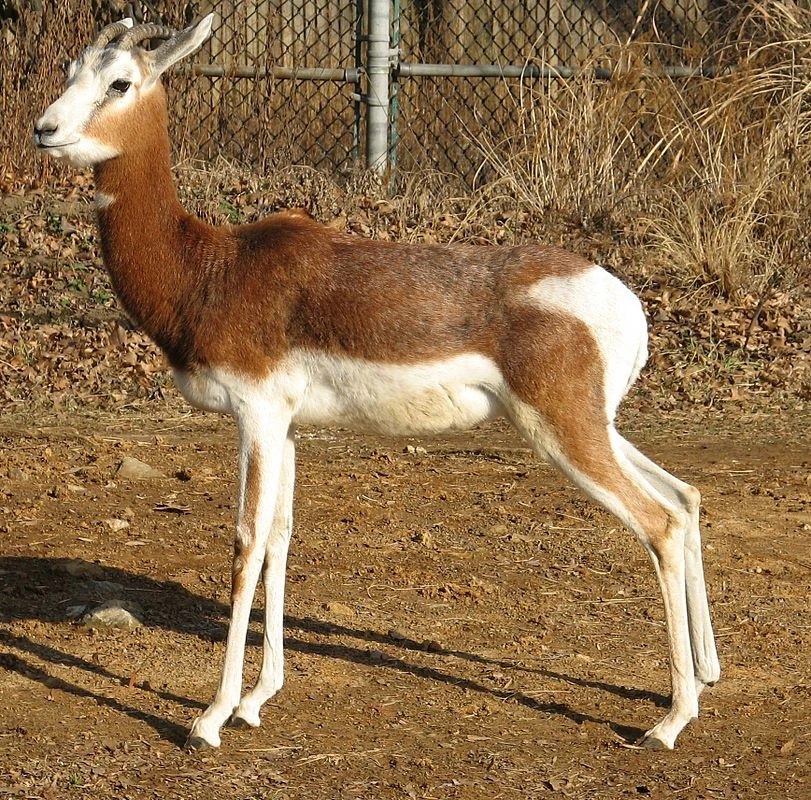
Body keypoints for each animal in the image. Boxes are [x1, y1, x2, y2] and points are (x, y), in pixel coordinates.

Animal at [34, 15, 720, 752]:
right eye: (70, 69)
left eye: (119, 81)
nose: (43, 128)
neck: (212, 269)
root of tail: (627, 305)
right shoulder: (287, 426)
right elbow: (280, 539)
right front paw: (258, 698)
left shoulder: (255, 414)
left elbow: (245, 543)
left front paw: (210, 717)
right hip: (592, 424)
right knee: (685, 497)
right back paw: (707, 673)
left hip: (563, 430)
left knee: (659, 523)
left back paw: (670, 720)